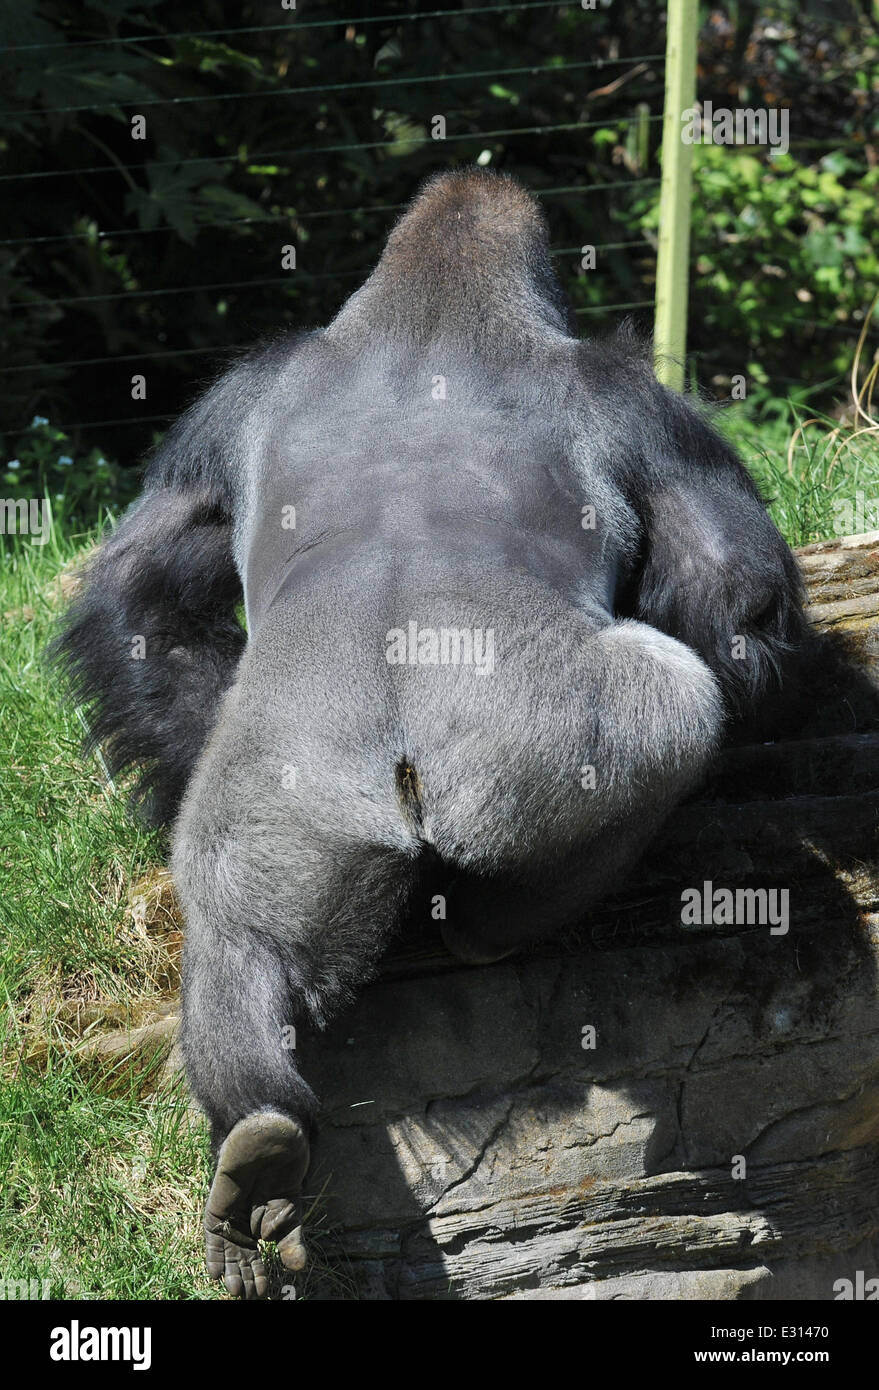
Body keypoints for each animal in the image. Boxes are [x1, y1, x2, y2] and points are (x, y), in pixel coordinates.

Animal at [55, 168, 808, 1299]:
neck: (430, 307)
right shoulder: (636, 397)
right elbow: (737, 603)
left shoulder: (237, 391)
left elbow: (142, 600)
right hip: (553, 742)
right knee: (679, 710)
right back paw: (501, 922)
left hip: (289, 800)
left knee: (241, 938)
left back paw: (257, 1144)